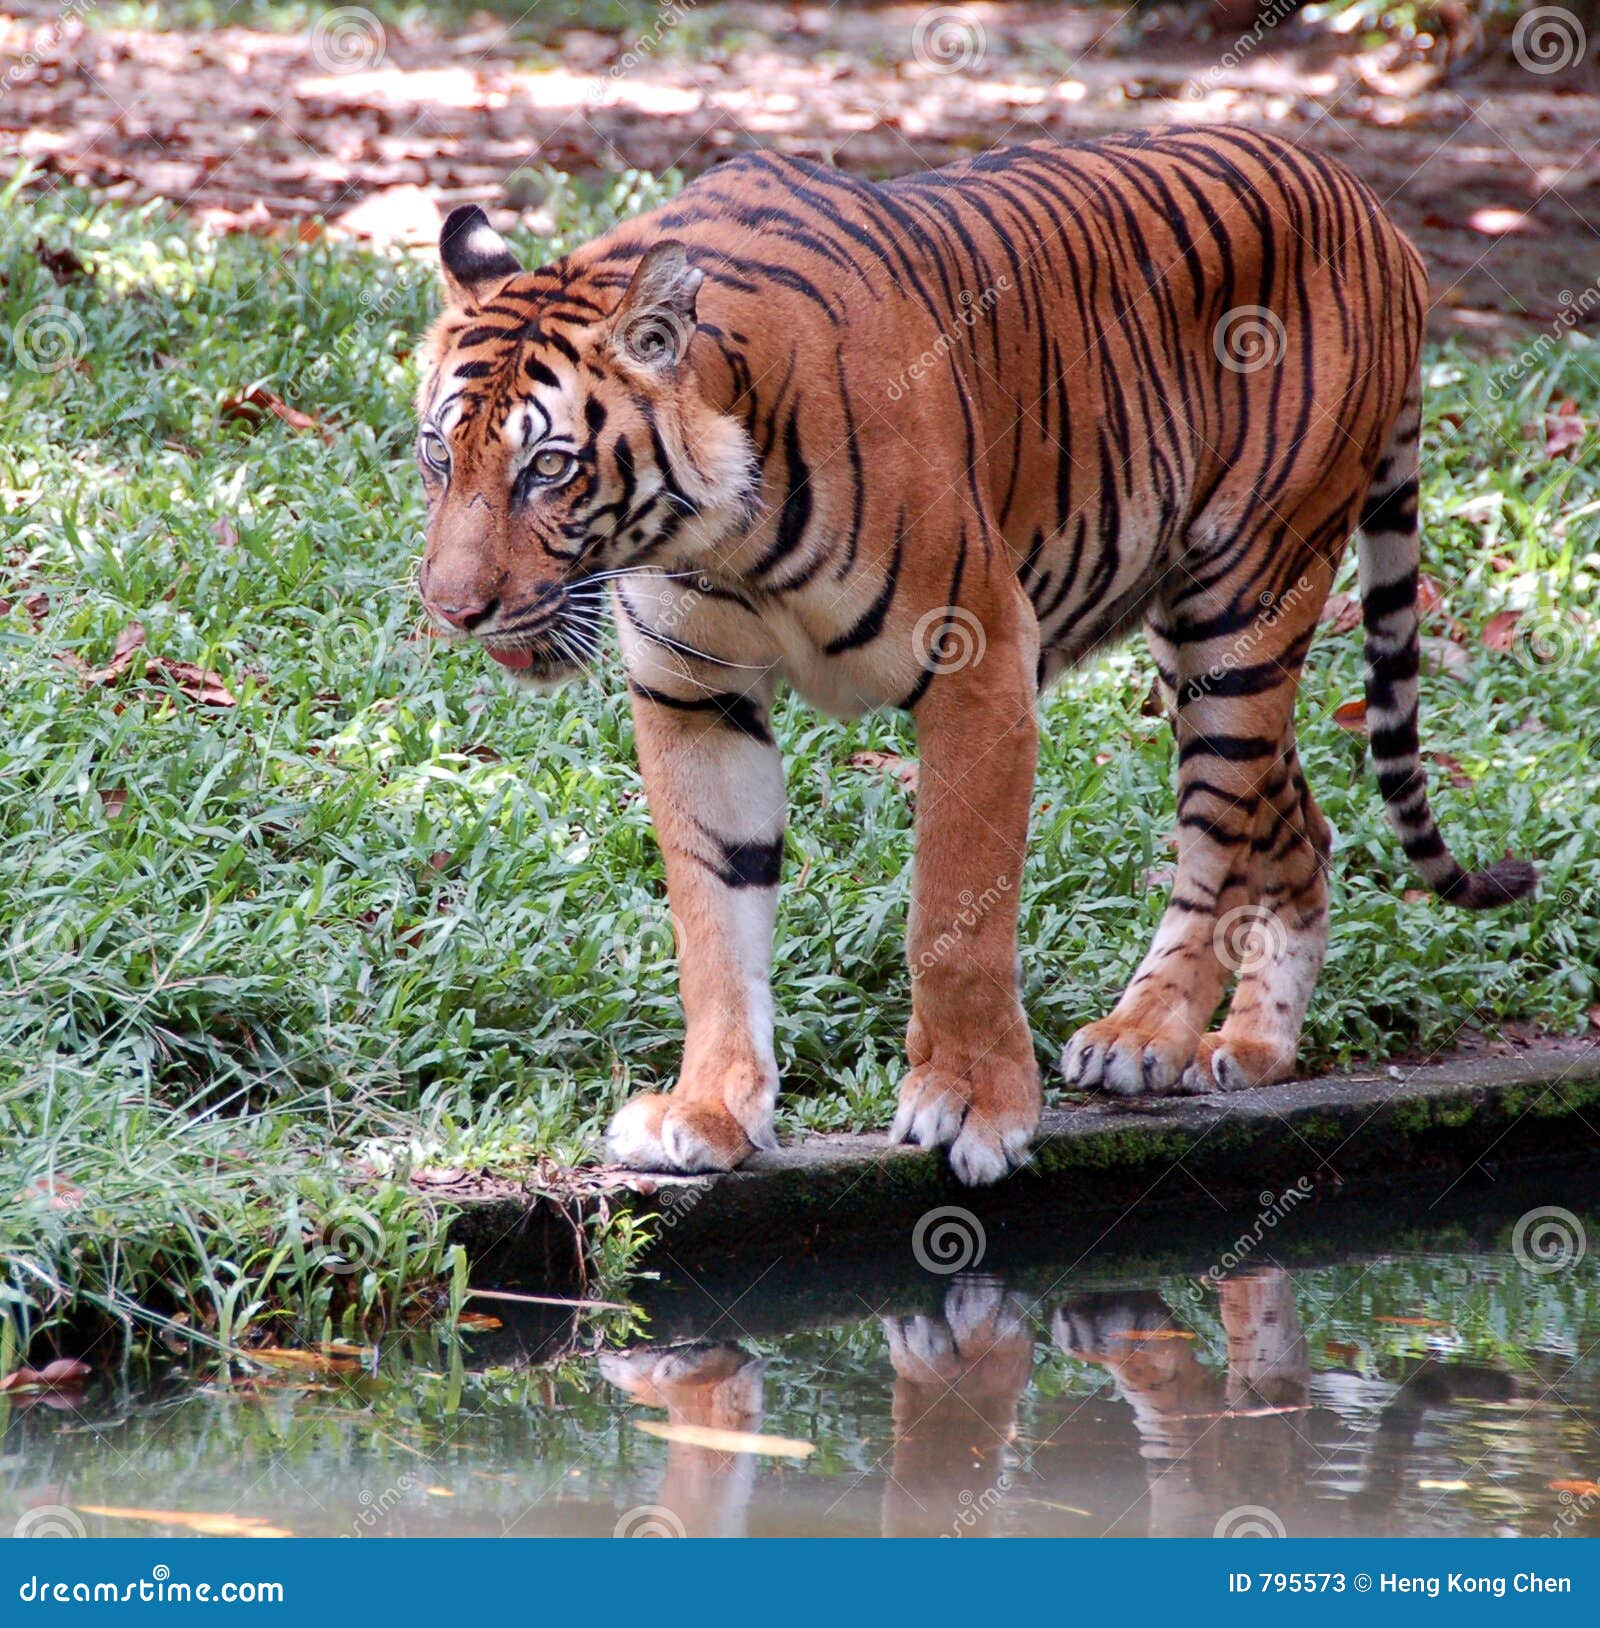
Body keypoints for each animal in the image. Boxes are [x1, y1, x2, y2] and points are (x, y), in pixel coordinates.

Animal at [413, 125, 1536, 1187]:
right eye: (438, 455)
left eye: (548, 468)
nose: (452, 609)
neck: (715, 536)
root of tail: (1373, 210)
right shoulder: (693, 693)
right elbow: (714, 915)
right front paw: (710, 1110)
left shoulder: (979, 659)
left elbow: (951, 915)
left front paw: (972, 1106)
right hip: (1206, 641)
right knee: (1301, 825)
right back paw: (1255, 1045)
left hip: (1245, 601)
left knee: (1218, 837)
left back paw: (1145, 1033)